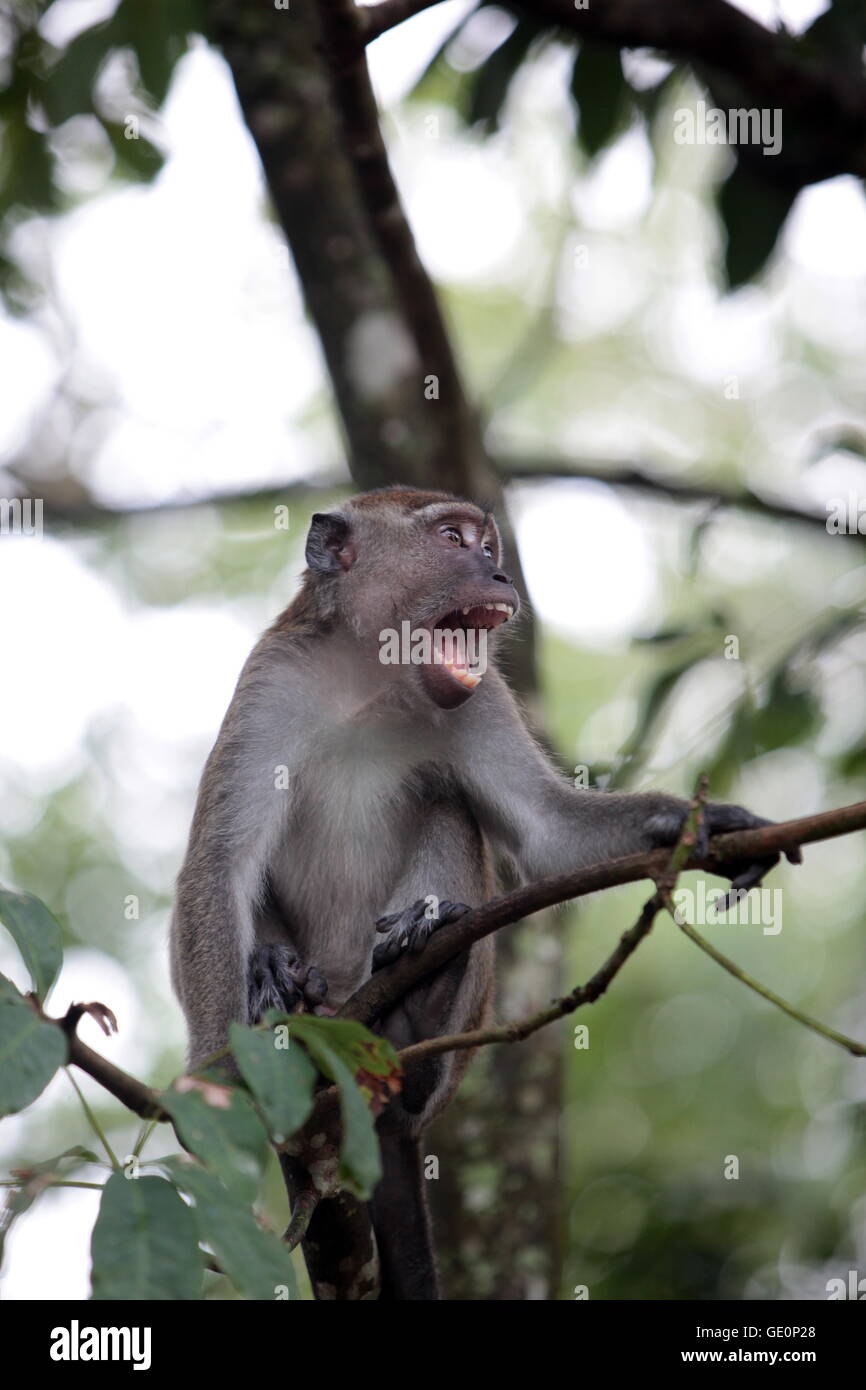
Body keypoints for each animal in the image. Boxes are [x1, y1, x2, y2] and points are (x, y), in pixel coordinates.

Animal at [169, 485, 799, 1300]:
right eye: (451, 539)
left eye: (486, 545)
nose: (498, 575)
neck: (373, 676)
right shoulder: (271, 682)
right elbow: (219, 866)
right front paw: (220, 1081)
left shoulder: (483, 694)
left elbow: (546, 829)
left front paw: (707, 825)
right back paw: (285, 980)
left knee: (447, 805)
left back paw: (420, 979)